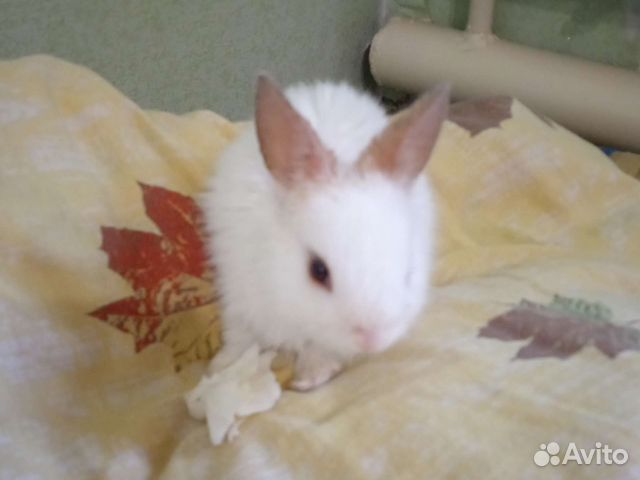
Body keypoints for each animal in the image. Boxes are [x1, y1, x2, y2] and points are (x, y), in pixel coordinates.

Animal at [202, 74, 449, 391]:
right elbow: (240, 337)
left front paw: (312, 377)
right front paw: (221, 369)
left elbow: (318, 348)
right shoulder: (238, 296)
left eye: (408, 271)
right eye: (318, 271)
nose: (372, 340)